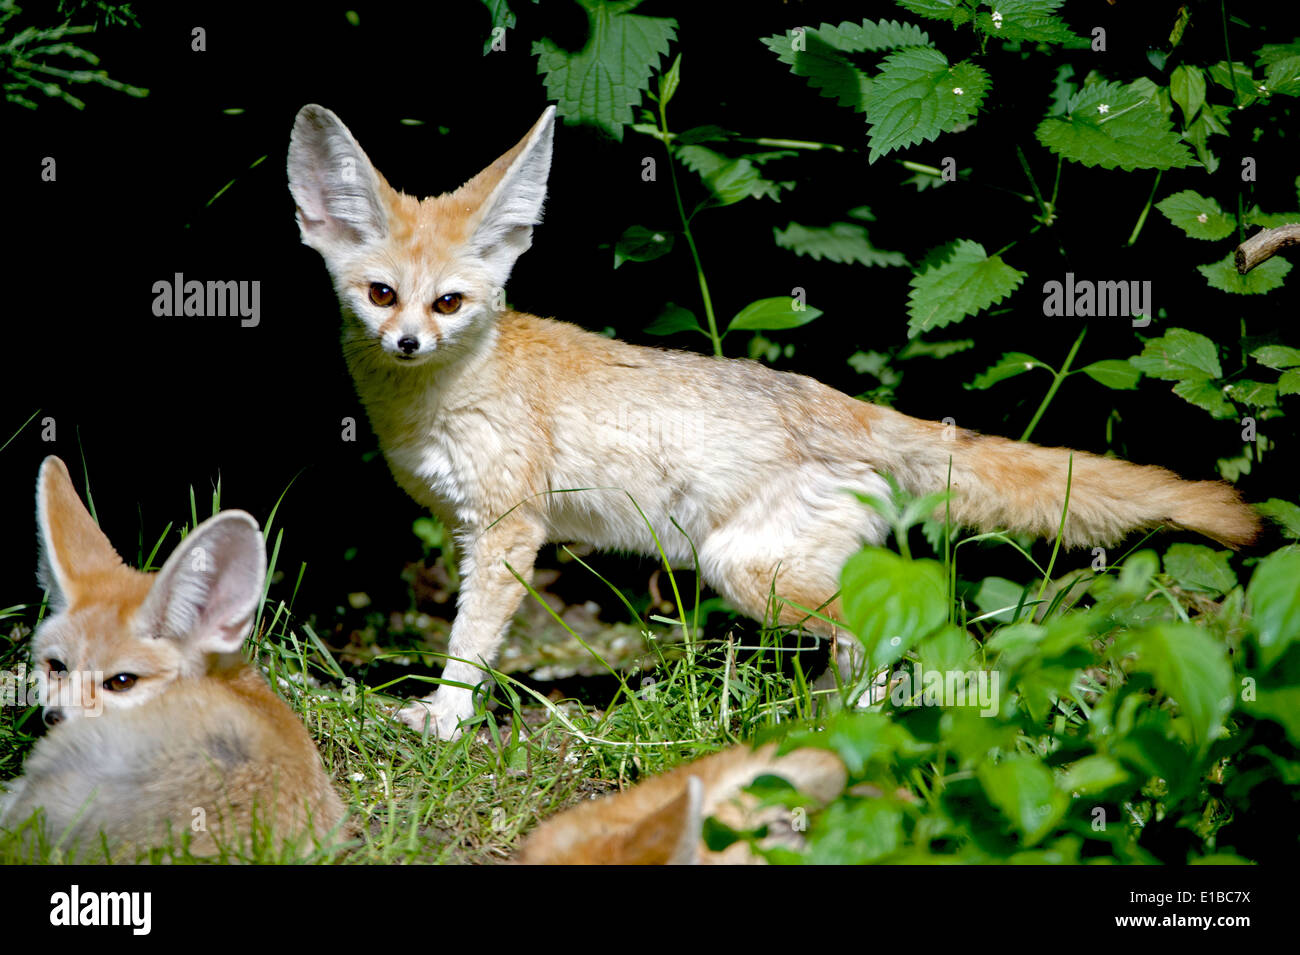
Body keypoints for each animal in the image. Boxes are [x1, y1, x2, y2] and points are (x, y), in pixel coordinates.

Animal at [287, 104, 1259, 741]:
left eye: (450, 302)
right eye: (382, 294)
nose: (408, 342)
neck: (442, 395)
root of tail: (844, 403)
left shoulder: (508, 530)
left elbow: (469, 644)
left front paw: (446, 716)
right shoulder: (467, 527)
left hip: (742, 570)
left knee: (893, 633)